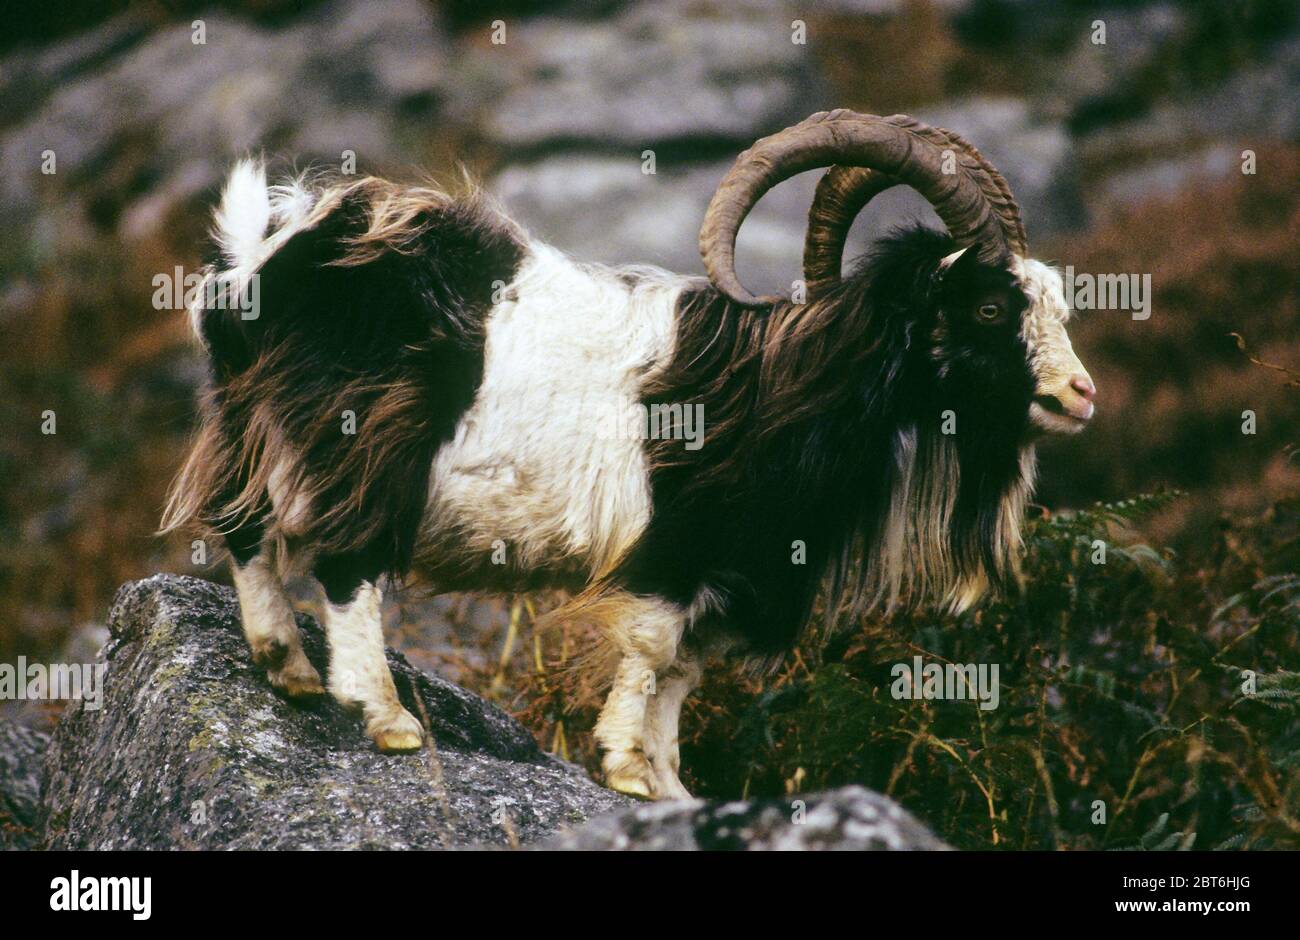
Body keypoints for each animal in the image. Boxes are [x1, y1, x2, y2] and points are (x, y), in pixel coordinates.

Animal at [162, 110, 1095, 800]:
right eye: (987, 306)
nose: (1080, 396)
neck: (793, 379)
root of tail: (265, 252)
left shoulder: (730, 570)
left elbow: (683, 672)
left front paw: (671, 786)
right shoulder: (676, 549)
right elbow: (651, 652)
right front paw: (626, 770)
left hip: (254, 424)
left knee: (245, 526)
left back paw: (286, 670)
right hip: (364, 445)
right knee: (345, 561)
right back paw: (387, 719)